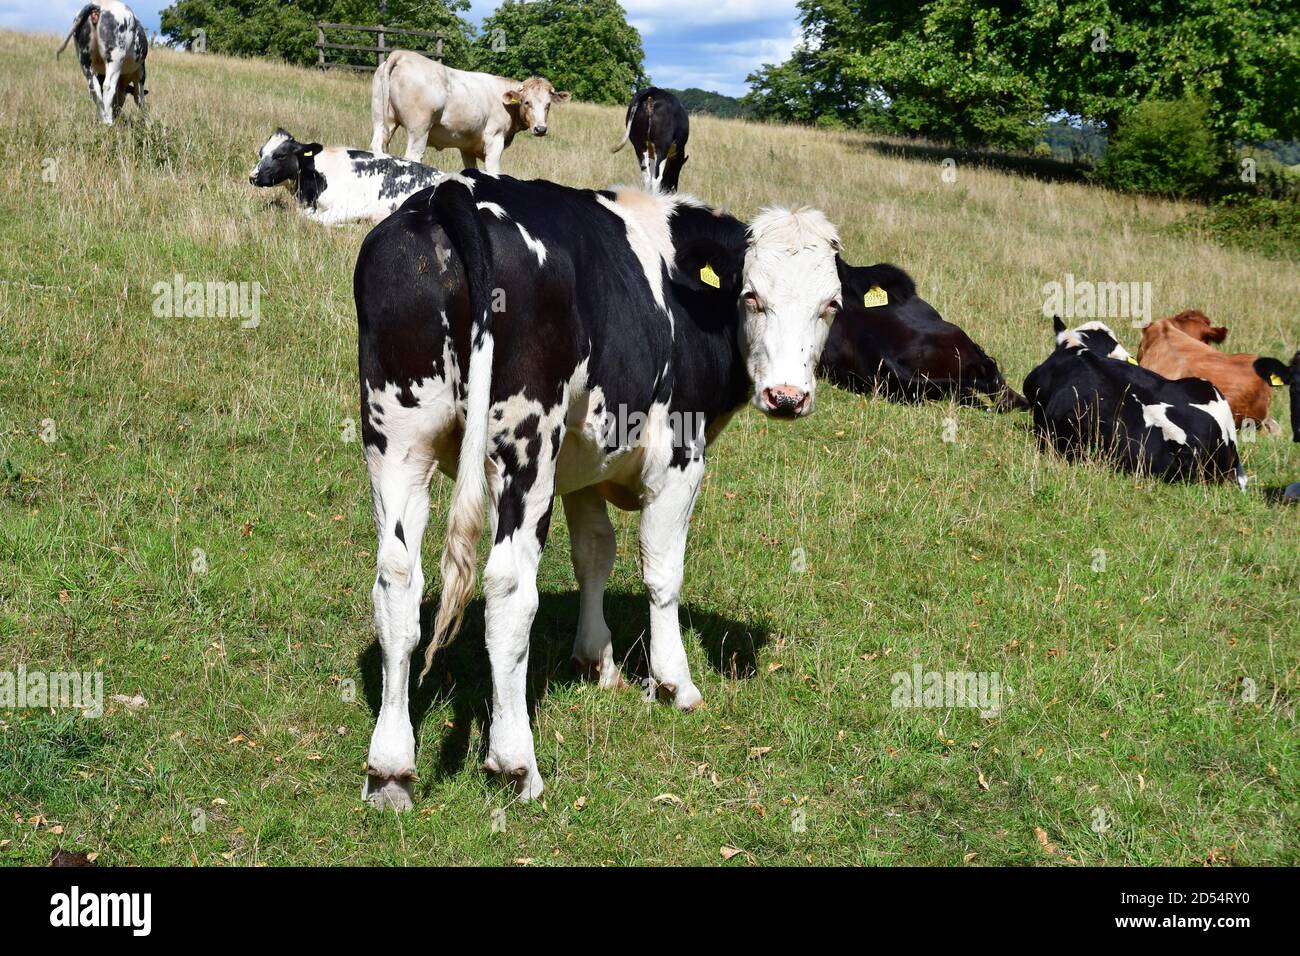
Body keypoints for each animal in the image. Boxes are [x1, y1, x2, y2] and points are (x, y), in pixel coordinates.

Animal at [354, 172, 842, 808]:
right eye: (751, 296)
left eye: (830, 305)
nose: (787, 396)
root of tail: (452, 195)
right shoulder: (679, 457)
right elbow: (661, 572)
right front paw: (673, 681)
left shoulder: (582, 461)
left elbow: (594, 553)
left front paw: (596, 659)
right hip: (524, 447)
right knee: (508, 587)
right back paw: (515, 762)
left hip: (396, 440)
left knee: (397, 583)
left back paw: (390, 768)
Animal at [369, 50, 569, 173]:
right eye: (527, 102)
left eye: (548, 104)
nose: (540, 129)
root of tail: (402, 54)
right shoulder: (495, 139)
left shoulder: (467, 147)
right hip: (419, 130)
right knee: (412, 157)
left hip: (382, 121)